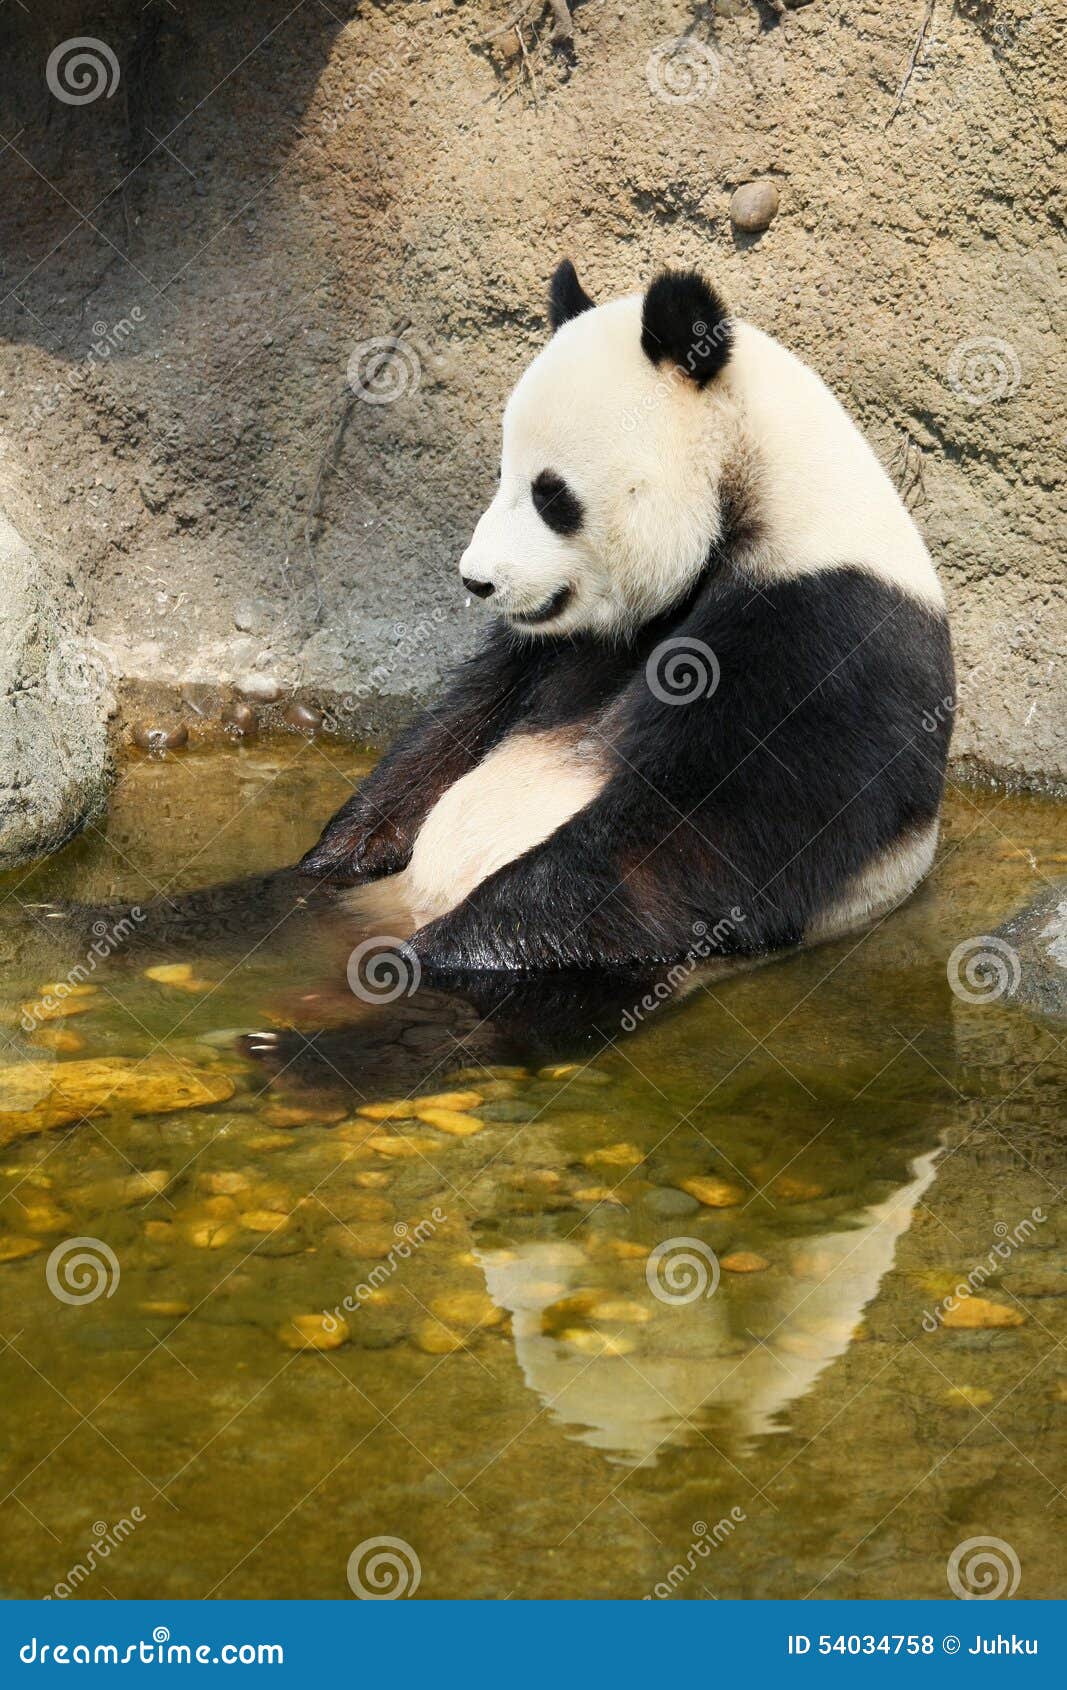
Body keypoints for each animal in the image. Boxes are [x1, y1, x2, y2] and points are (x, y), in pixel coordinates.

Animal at [300, 262, 955, 974]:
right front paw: (334, 854)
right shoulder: (549, 649)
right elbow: (445, 739)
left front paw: (446, 952)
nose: (478, 580)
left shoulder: (828, 634)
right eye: (502, 475)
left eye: (551, 494)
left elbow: (689, 847)